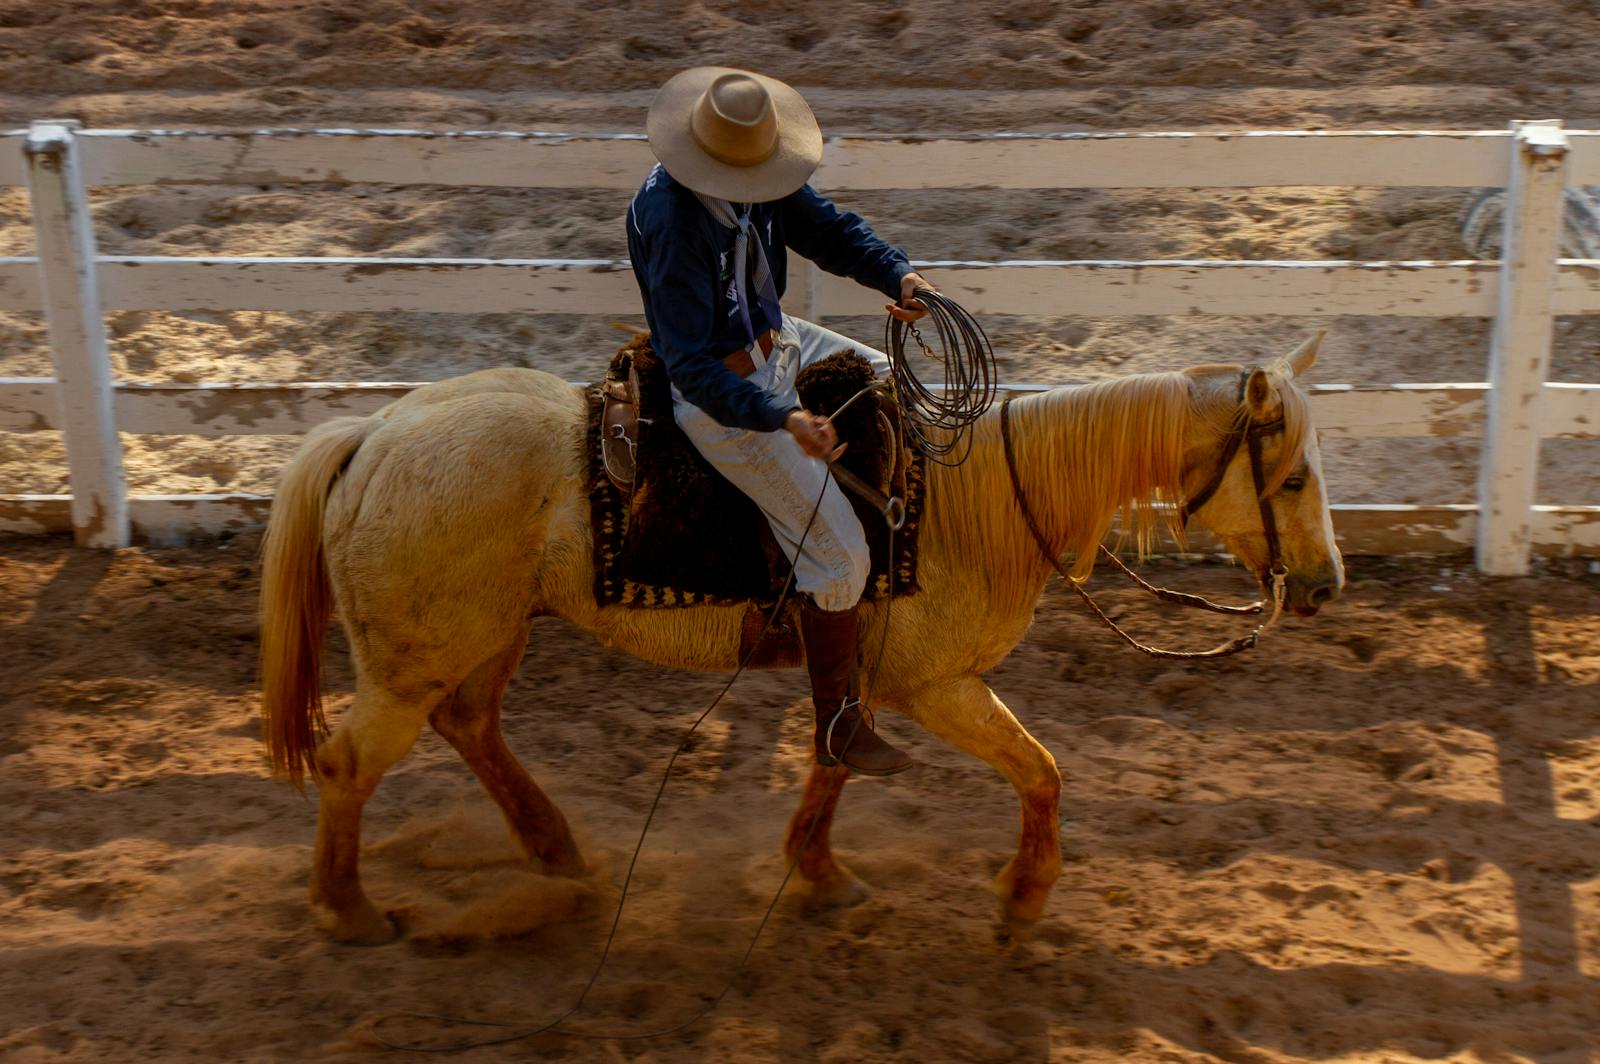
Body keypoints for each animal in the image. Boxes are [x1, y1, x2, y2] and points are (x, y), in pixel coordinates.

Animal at [258, 332, 1343, 945]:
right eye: (1291, 476)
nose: (1325, 583)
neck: (977, 503)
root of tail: (372, 434)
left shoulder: (861, 668)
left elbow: (834, 760)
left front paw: (819, 873)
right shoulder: (933, 684)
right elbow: (1040, 771)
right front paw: (1024, 896)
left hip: (485, 637)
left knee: (473, 729)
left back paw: (558, 851)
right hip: (413, 662)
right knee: (349, 762)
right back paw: (349, 909)